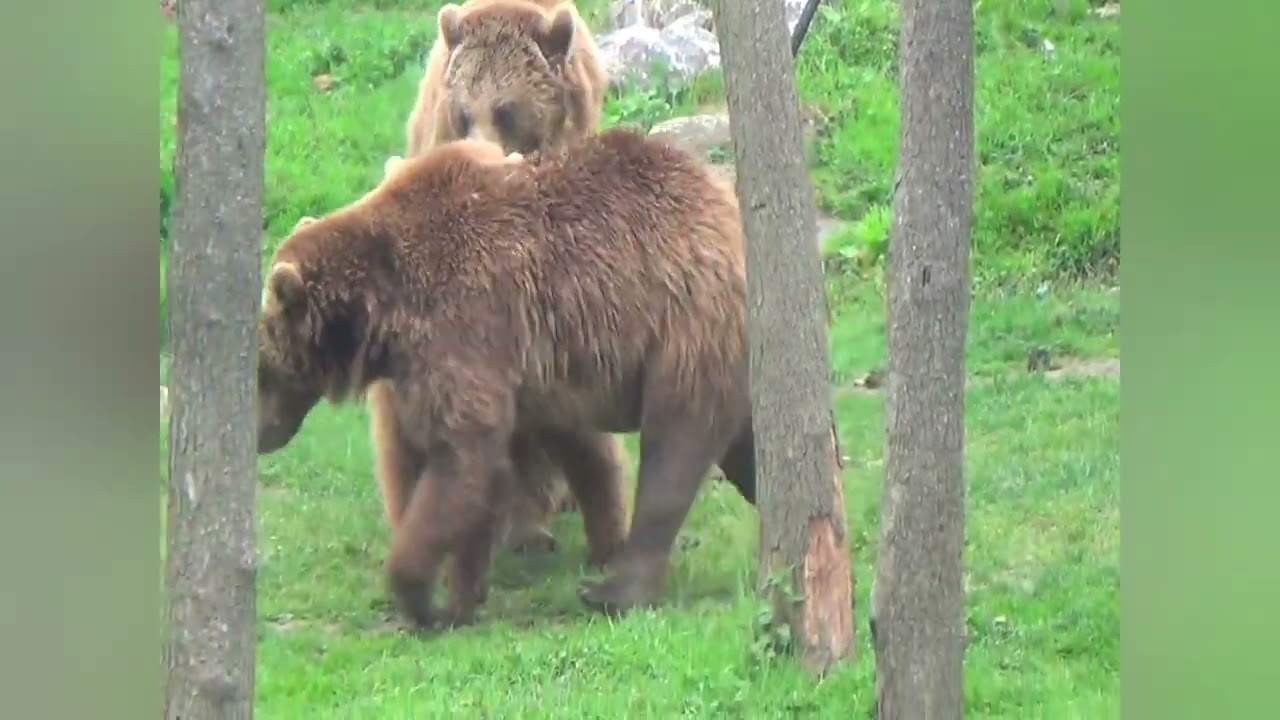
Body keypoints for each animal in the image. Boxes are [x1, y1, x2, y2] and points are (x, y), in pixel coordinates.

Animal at [255, 128, 757, 629]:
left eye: (260, 366)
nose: (259, 436)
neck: (382, 312)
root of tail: (725, 210)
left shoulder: (462, 326)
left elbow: (461, 458)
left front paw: (419, 595)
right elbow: (473, 479)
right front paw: (462, 595)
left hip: (685, 328)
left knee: (671, 455)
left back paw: (612, 591)